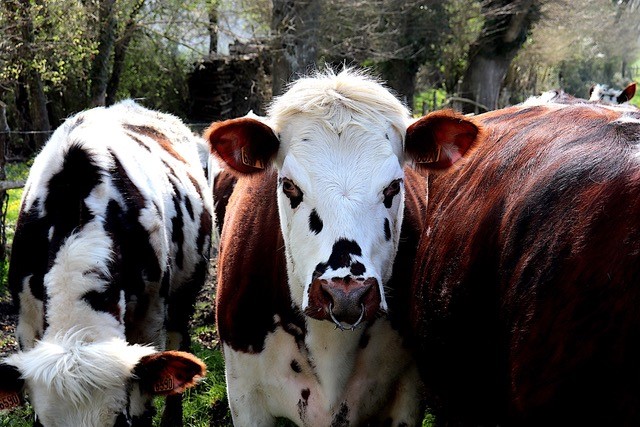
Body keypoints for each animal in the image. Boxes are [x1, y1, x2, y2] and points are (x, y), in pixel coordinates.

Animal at [0, 100, 213, 427]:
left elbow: (142, 405)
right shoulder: (26, 322)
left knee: (179, 341)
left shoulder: (150, 321)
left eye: (120, 423)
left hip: (185, 291)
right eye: (39, 424)